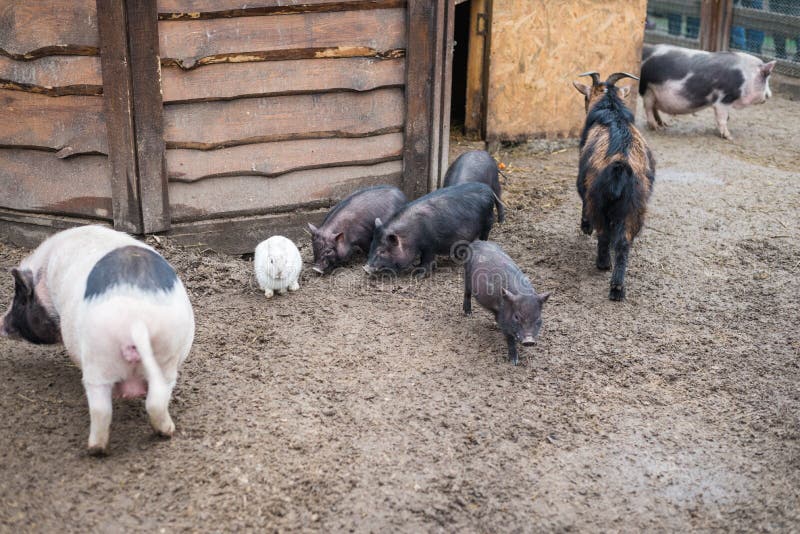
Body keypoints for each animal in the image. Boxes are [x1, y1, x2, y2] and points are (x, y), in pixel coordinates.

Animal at [0, 225, 195, 455]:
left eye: (20, 300)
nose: (1, 322)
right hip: (165, 355)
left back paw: (95, 448)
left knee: (100, 408)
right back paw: (166, 431)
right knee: (156, 400)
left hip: (98, 358)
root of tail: (135, 321)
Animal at [364, 182, 500, 276]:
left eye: (382, 251)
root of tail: (489, 190)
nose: (365, 268)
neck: (410, 234)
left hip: (488, 222)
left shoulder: (430, 245)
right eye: (371, 246)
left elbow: (427, 259)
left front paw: (418, 274)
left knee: (484, 236)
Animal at [572, 71, 656, 301]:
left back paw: (603, 264)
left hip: (598, 200)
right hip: (635, 206)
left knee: (604, 233)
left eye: (586, 96)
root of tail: (620, 164)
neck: (611, 110)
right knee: (623, 243)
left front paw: (585, 227)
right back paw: (617, 288)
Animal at [639, 43, 776, 140]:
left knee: (654, 108)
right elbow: (722, 118)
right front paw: (729, 137)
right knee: (648, 107)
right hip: (648, 88)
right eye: (766, 78)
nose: (770, 95)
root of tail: (646, 51)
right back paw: (655, 128)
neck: (746, 76)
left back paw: (664, 125)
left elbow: (725, 117)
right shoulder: (723, 99)